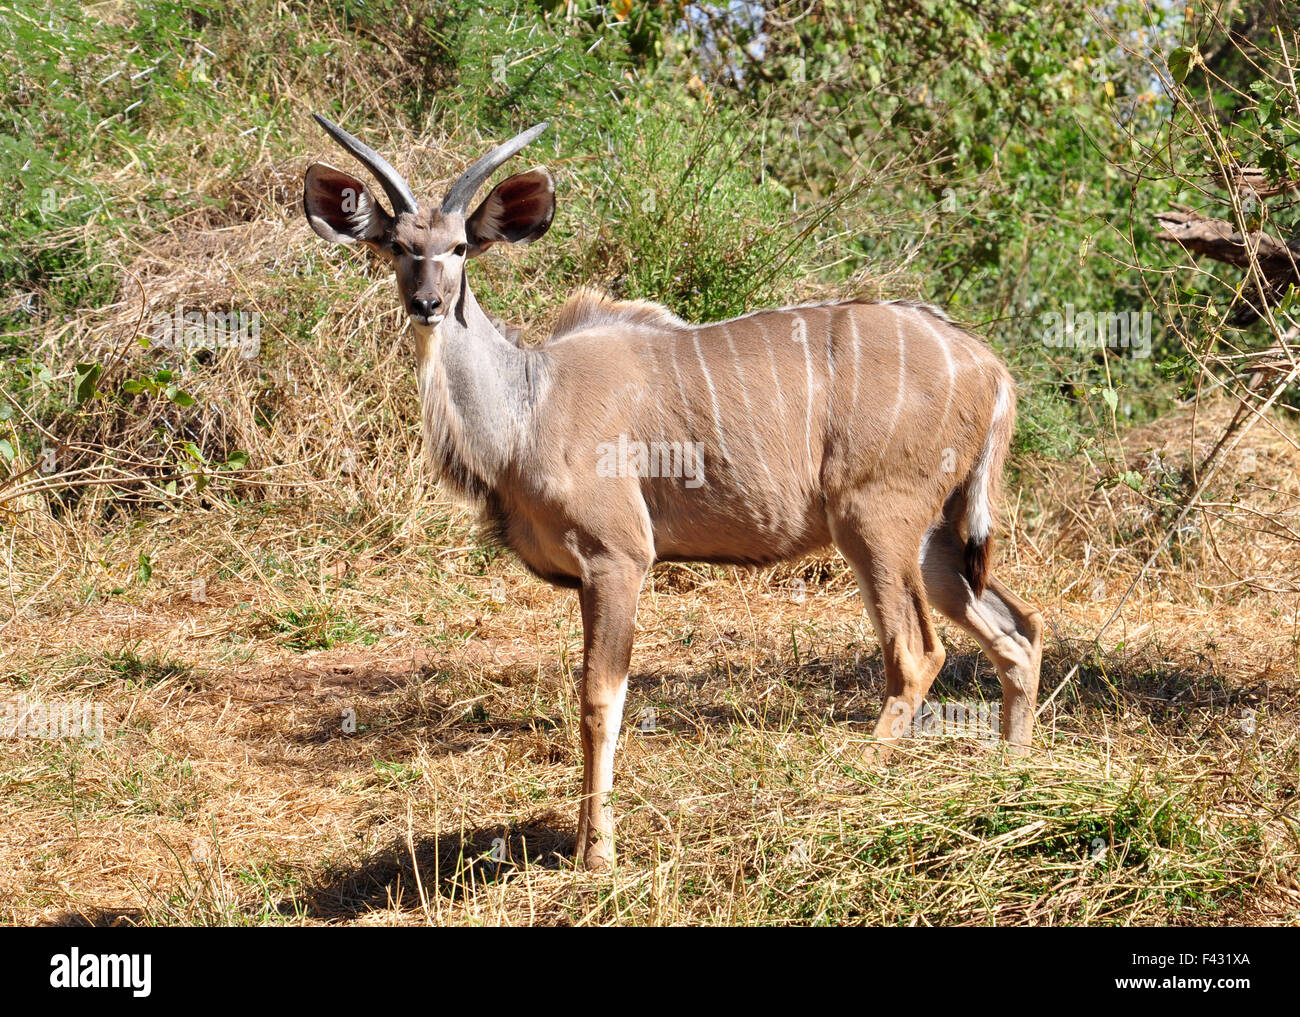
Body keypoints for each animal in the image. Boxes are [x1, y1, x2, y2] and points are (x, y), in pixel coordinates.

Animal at [303, 115, 1044, 870]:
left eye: (458, 247)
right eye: (398, 246)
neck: (529, 402)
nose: (427, 304)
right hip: (935, 537)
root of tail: (990, 367)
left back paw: (851, 782)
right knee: (1019, 630)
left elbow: (601, 701)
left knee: (917, 654)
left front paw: (597, 855)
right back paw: (1013, 779)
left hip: (874, 523)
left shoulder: (619, 557)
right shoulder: (589, 574)